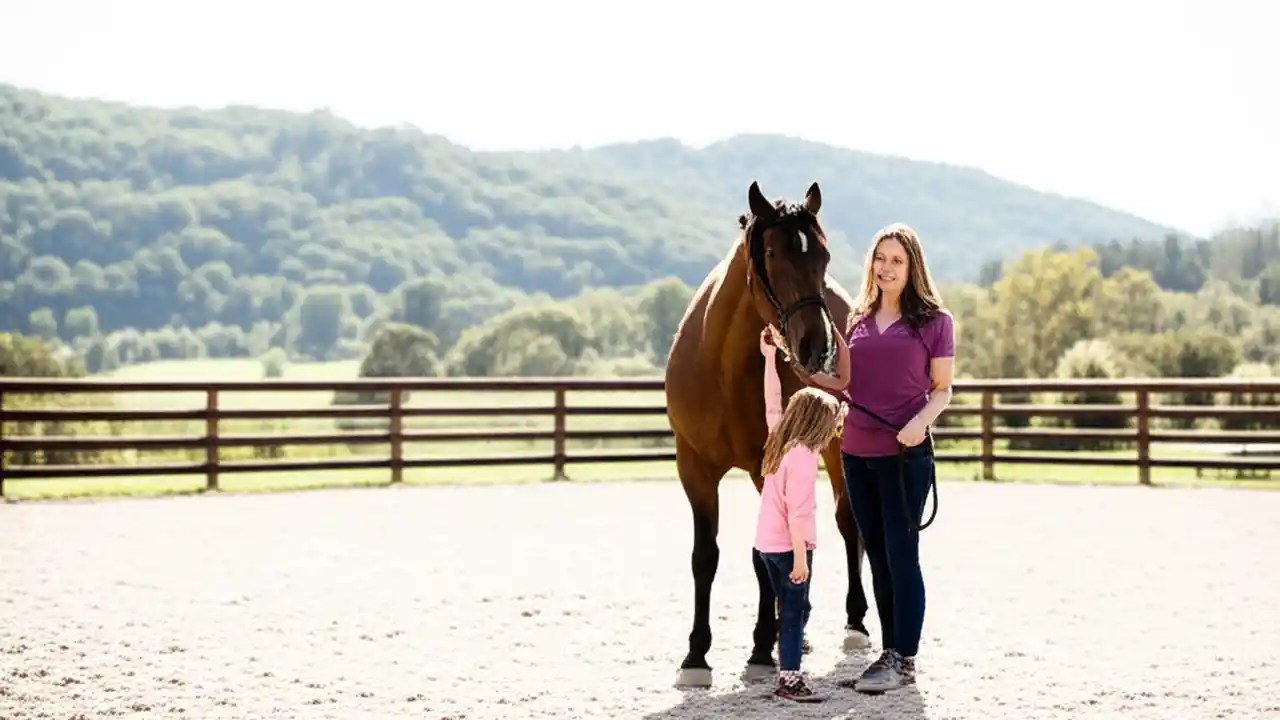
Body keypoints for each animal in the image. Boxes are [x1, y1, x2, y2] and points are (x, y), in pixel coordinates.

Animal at [663, 180, 870, 688]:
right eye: (774, 253)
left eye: (823, 255)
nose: (817, 347)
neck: (722, 368)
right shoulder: (693, 469)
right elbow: (705, 556)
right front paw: (696, 656)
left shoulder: (764, 468)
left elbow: (763, 557)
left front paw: (759, 650)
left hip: (835, 451)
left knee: (845, 522)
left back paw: (853, 623)